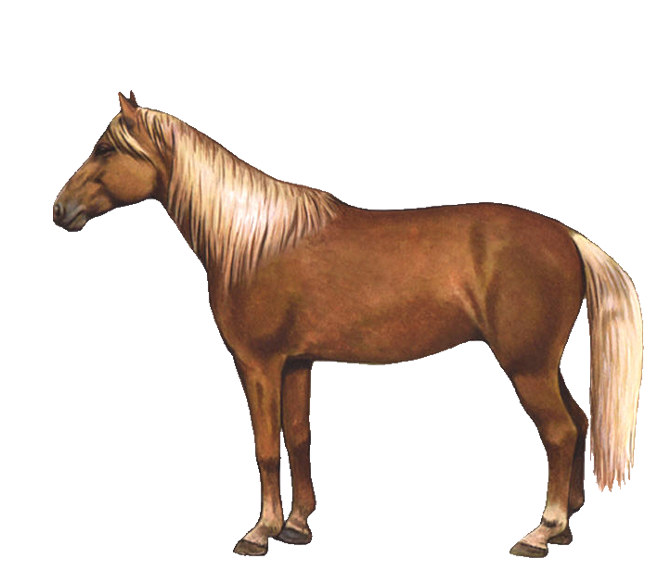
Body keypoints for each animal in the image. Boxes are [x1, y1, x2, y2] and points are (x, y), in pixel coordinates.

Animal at [53, 91, 643, 558]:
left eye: (104, 149)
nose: (61, 208)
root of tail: (567, 237)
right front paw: (297, 524)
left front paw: (262, 531)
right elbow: (300, 439)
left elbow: (266, 447)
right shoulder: (294, 364)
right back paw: (567, 519)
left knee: (560, 432)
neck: (252, 243)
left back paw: (544, 529)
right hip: (544, 363)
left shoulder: (258, 365)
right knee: (579, 422)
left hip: (526, 366)